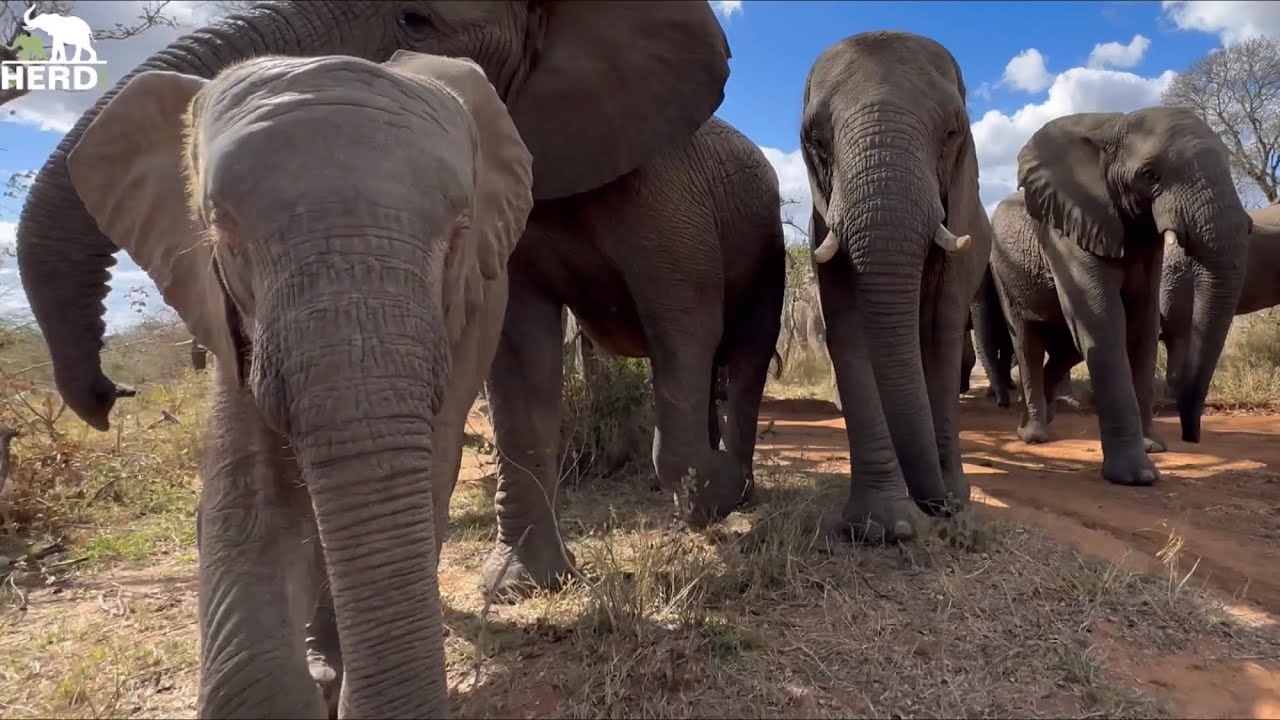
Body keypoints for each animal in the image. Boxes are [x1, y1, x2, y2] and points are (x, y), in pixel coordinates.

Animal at [58, 51, 533, 718]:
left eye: (460, 230)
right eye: (221, 229)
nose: (109, 397)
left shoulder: (467, 305)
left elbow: (425, 467)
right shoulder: (222, 304)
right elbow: (248, 493)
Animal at [801, 31, 992, 542]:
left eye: (952, 133)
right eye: (815, 140)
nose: (939, 508)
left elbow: (942, 333)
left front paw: (955, 498)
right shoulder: (822, 223)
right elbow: (847, 333)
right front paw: (884, 527)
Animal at [988, 106, 1250, 486]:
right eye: (1150, 175)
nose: (1190, 436)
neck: (1112, 125)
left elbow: (1142, 324)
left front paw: (1153, 447)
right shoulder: (1067, 228)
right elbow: (1105, 323)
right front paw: (1137, 475)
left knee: (1068, 346)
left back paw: (1043, 418)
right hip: (1001, 271)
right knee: (1027, 342)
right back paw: (1033, 434)